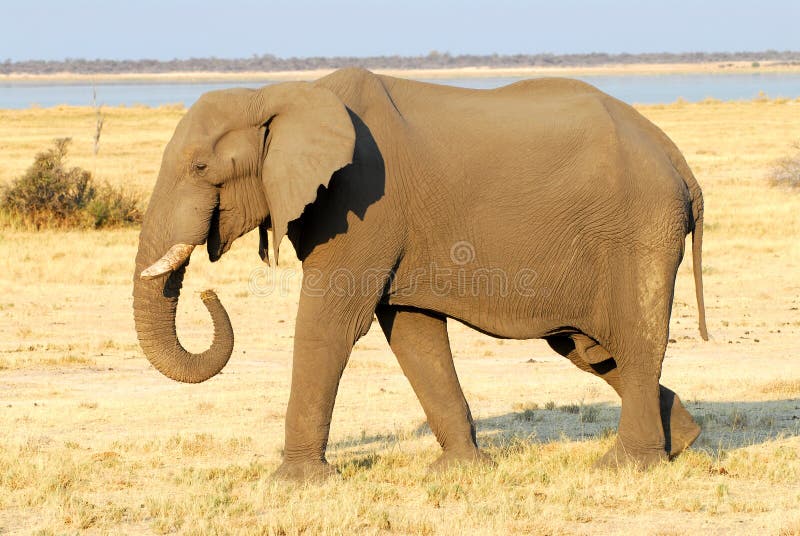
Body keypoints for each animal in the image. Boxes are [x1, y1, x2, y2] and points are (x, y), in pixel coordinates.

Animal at [133, 67, 707, 481]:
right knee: (591, 350)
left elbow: (329, 324)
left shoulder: (361, 201)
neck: (281, 94)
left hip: (639, 228)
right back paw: (684, 440)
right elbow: (413, 334)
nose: (209, 292)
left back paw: (626, 466)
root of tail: (680, 162)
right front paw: (460, 471)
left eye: (201, 168)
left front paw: (294, 483)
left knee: (632, 340)